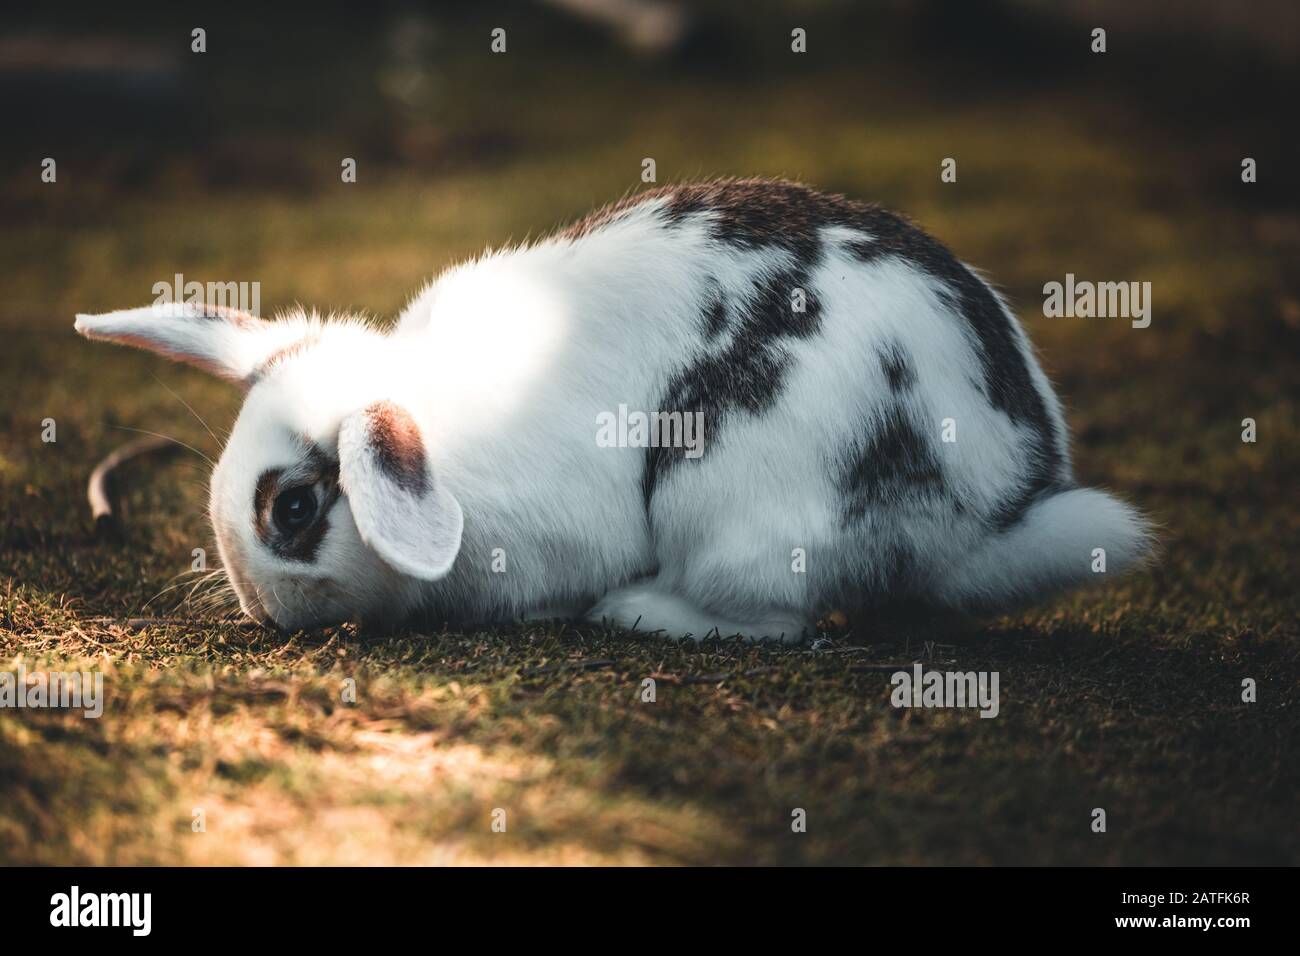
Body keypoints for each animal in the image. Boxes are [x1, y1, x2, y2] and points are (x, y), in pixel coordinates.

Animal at [74, 178, 1153, 641]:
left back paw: (636, 610)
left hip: (727, 505)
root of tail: (993, 513)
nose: (258, 609)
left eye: (291, 508)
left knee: (772, 620)